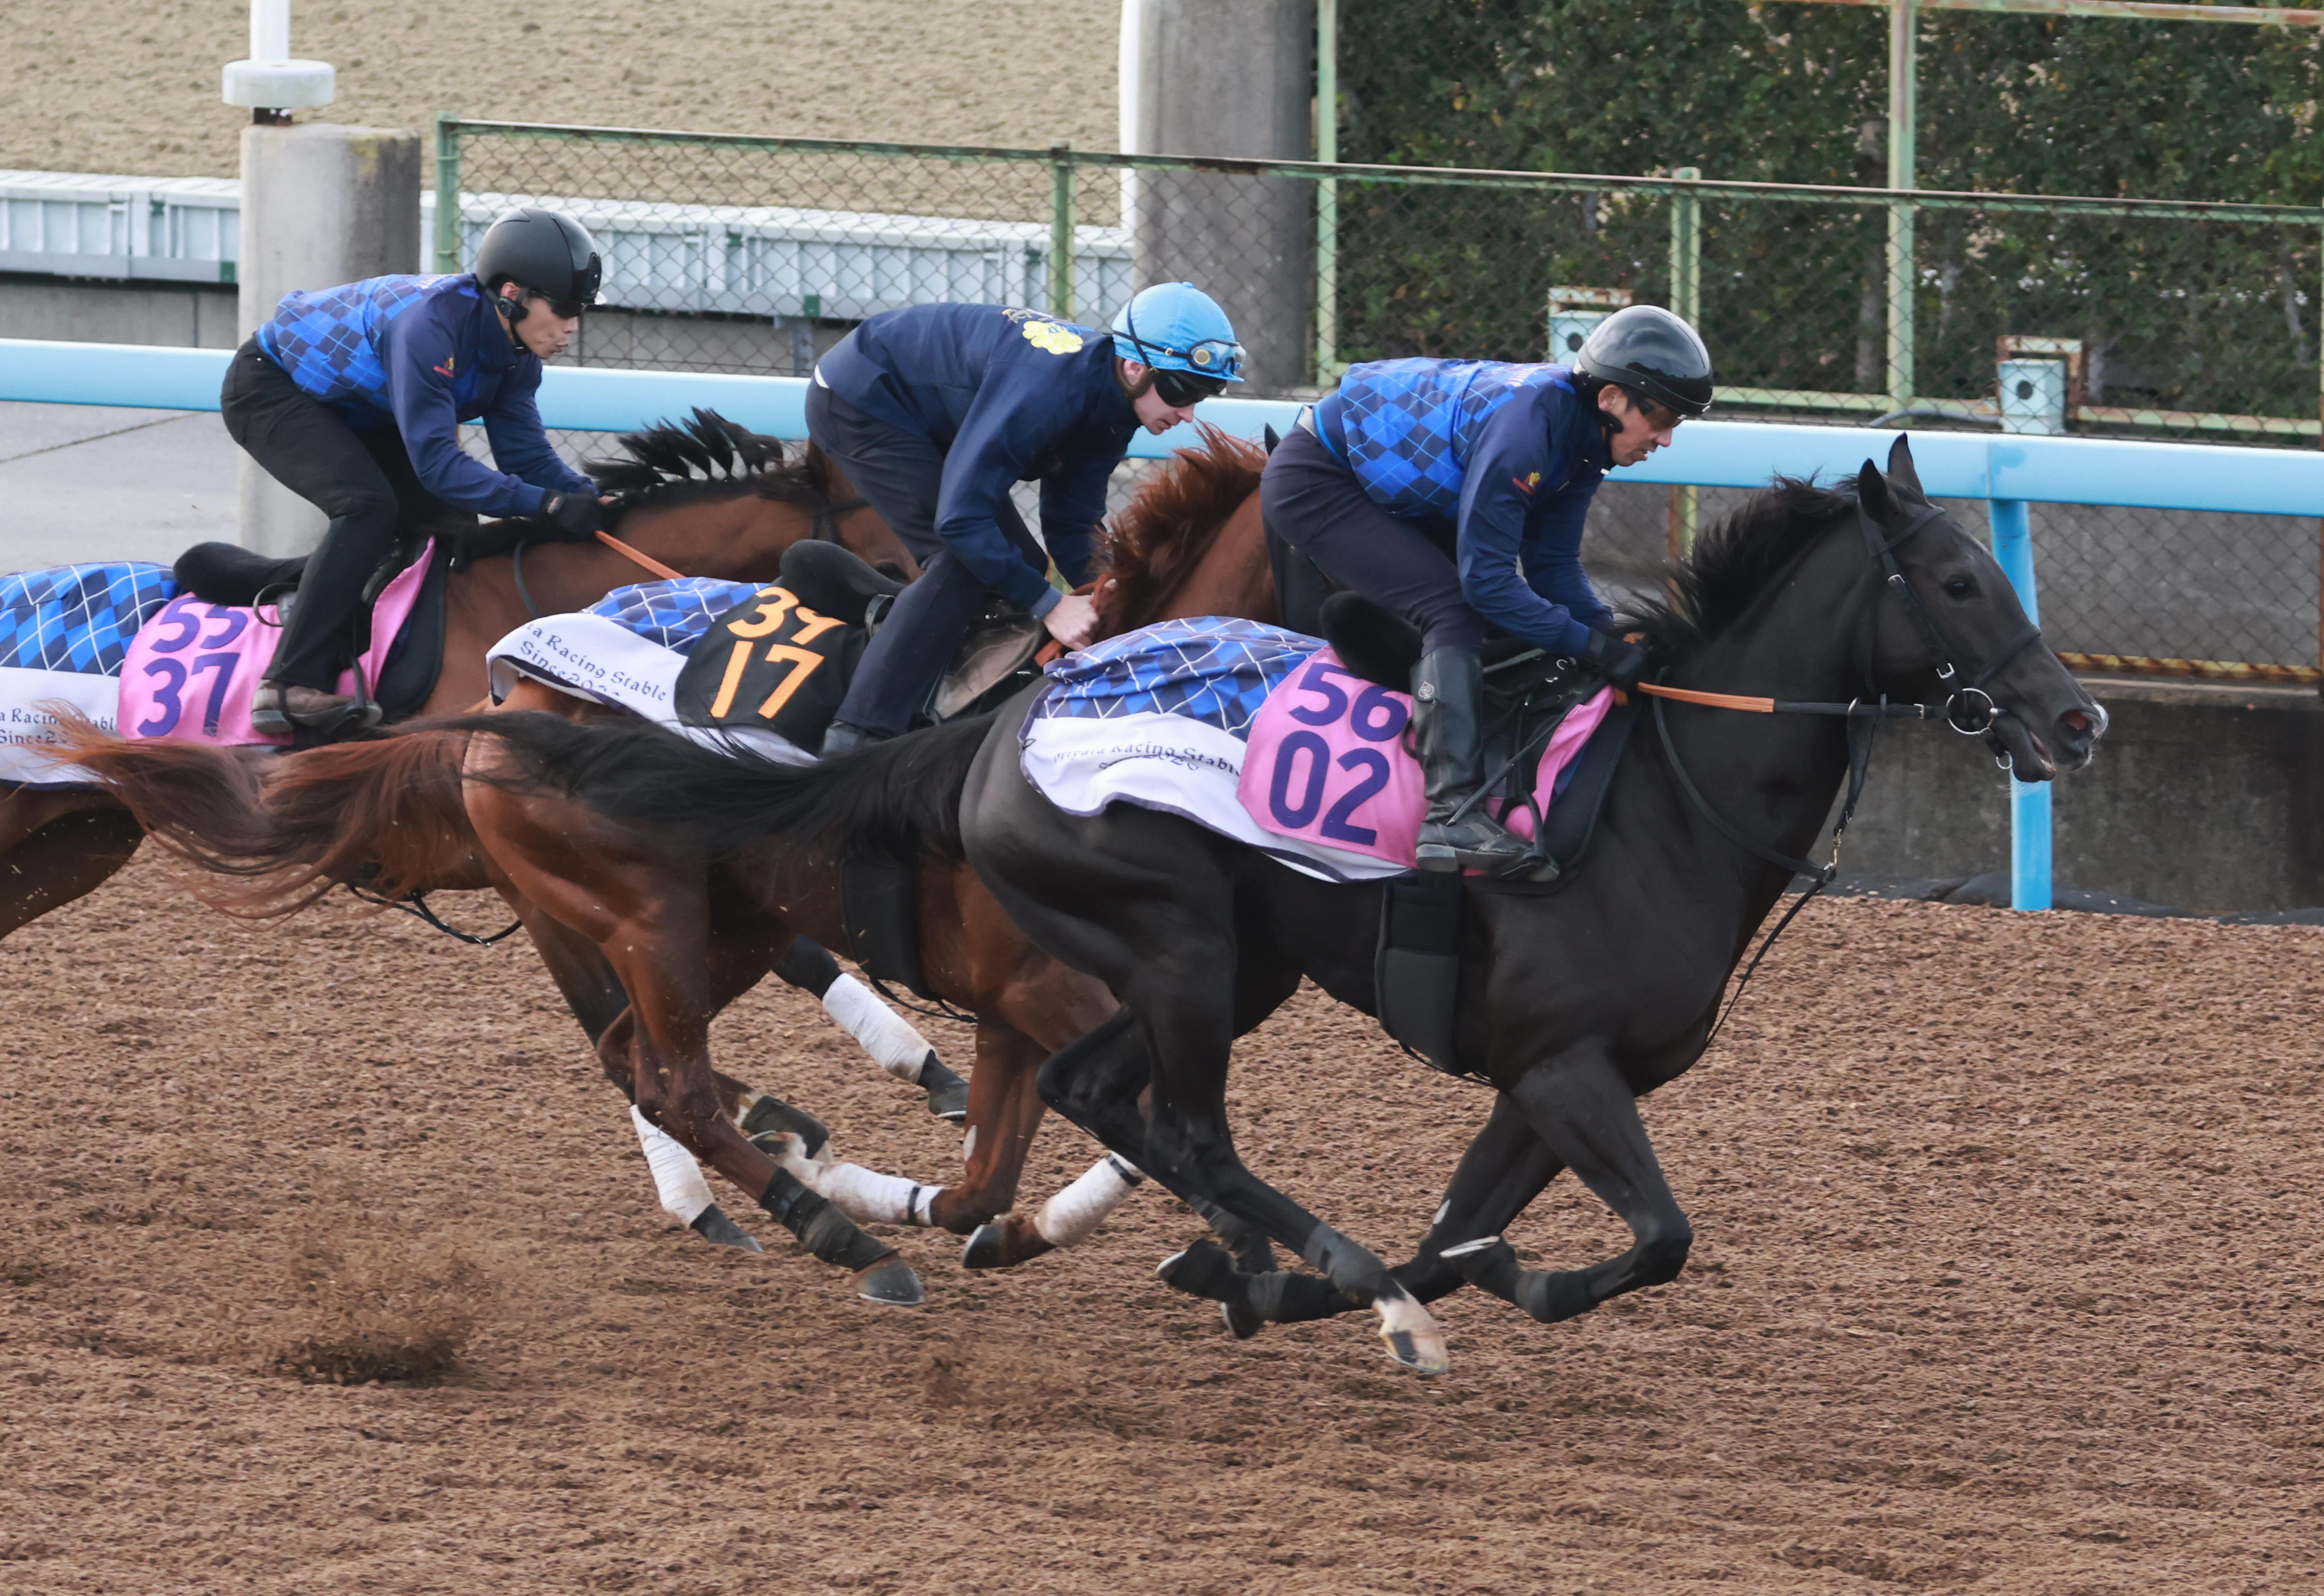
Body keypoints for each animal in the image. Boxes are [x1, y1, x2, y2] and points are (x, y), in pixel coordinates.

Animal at [443, 438, 2107, 1374]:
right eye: (1956, 582)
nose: (2073, 718)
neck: (1651, 802)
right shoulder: (1564, 1065)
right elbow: (1651, 1237)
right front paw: (1403, 1286)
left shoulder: (1540, 1080)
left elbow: (1464, 1227)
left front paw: (1305, 1284)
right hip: (1154, 943)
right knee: (1151, 1119)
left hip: (1188, 963)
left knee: (1067, 1096)